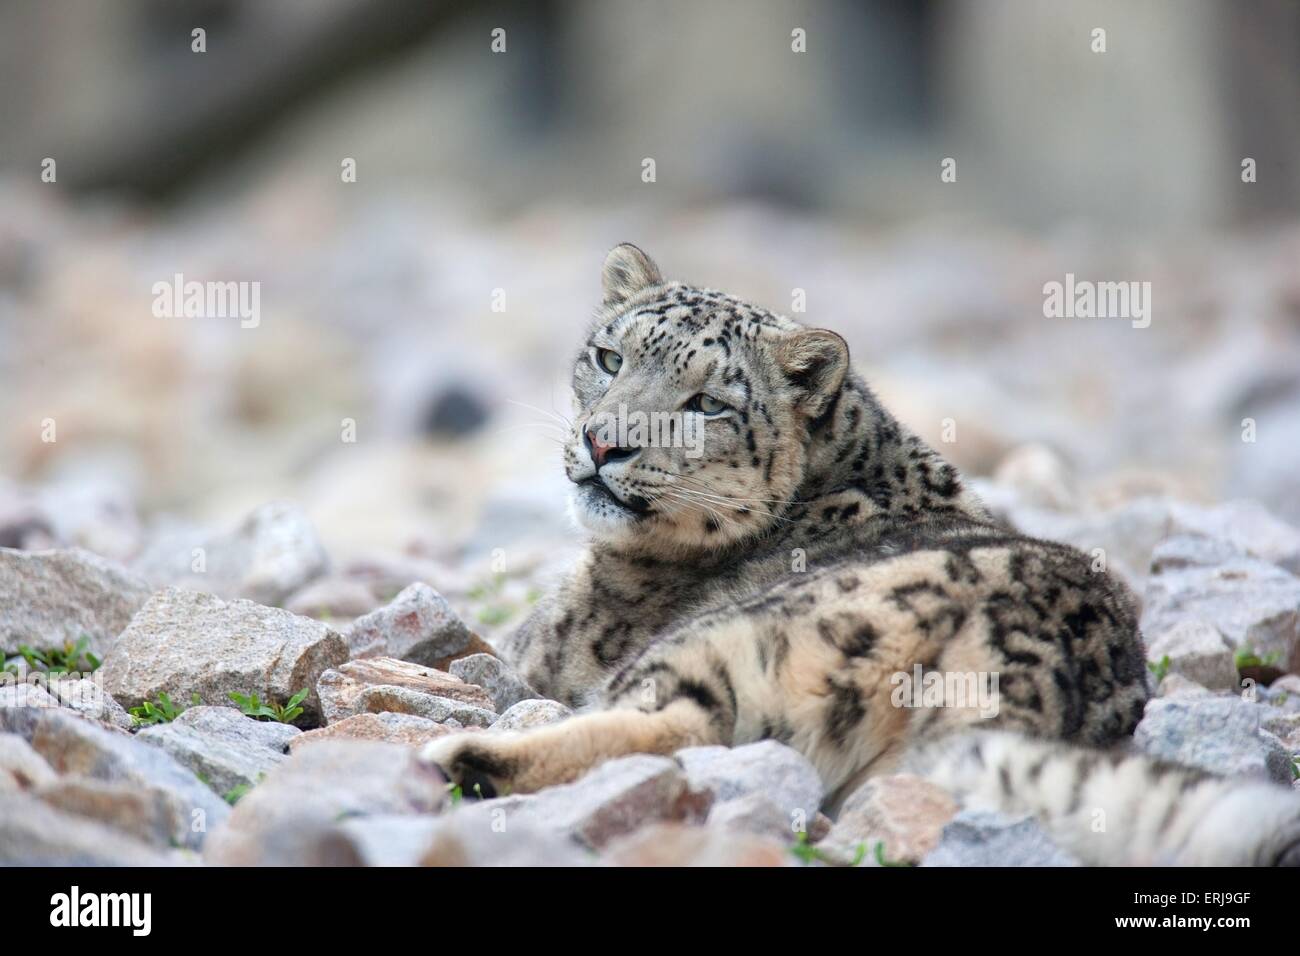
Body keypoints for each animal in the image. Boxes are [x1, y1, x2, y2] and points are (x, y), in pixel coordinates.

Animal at [423, 244, 1300, 865]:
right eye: (609, 357)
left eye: (707, 404)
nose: (604, 442)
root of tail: (1016, 664)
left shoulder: (543, 648)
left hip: (731, 640)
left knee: (678, 723)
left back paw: (461, 756)